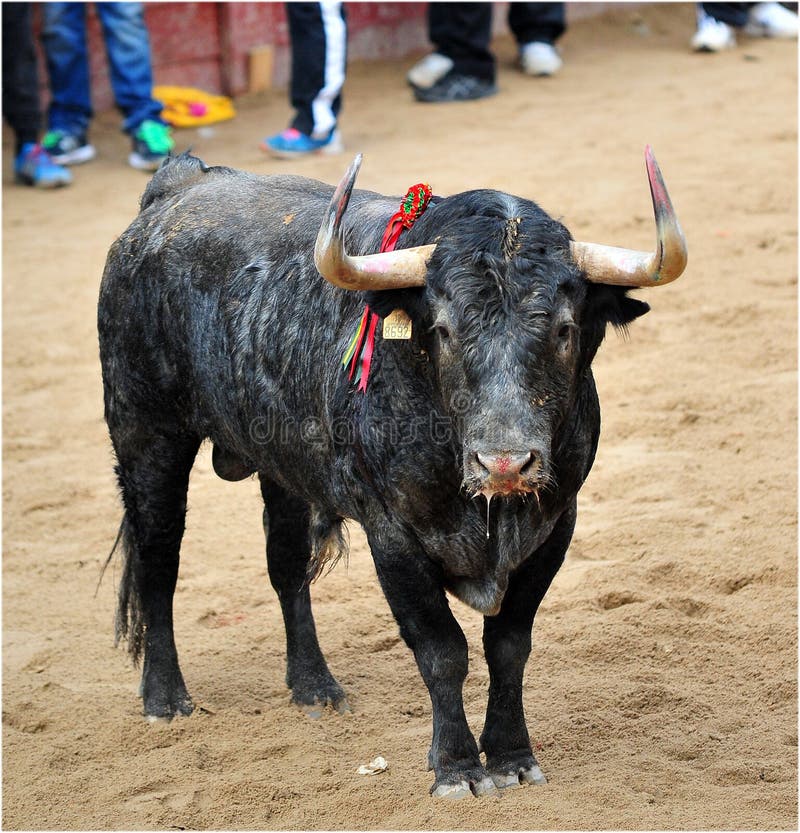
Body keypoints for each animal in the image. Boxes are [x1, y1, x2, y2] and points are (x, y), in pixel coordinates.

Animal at [98, 147, 686, 798]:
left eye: (563, 328)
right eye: (445, 329)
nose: (504, 463)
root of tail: (175, 188)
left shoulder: (556, 525)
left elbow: (509, 645)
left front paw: (512, 757)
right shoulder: (394, 536)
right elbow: (442, 649)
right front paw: (457, 768)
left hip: (282, 466)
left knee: (285, 564)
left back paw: (314, 686)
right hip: (147, 437)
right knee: (159, 561)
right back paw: (165, 698)